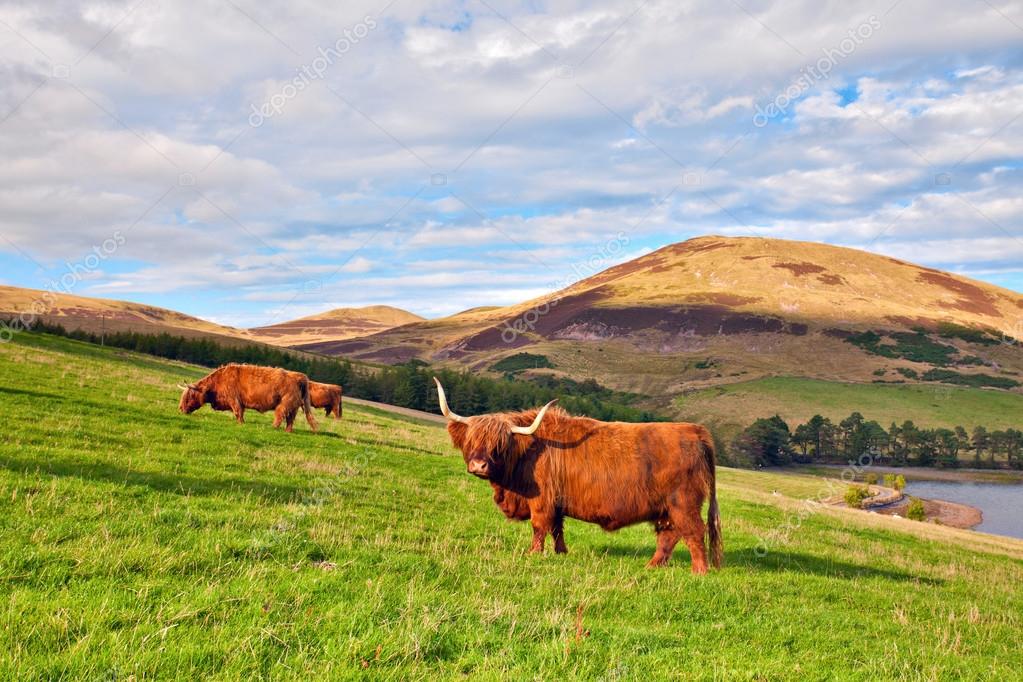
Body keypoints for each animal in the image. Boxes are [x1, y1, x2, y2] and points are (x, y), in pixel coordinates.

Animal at [178, 364, 318, 433]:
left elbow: (238, 412)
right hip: (293, 407)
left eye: (189, 396)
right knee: (290, 420)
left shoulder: (234, 399)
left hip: (285, 403)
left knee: (280, 415)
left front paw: (241, 423)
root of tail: (299, 376)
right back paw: (287, 431)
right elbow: (240, 412)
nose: (181, 409)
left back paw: (273, 427)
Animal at [434, 378, 722, 572]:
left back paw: (699, 571)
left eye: (500, 444)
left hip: (683, 503)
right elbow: (557, 528)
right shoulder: (557, 502)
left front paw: (533, 554)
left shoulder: (542, 500)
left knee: (694, 533)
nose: (478, 465)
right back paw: (652, 565)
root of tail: (696, 432)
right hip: (666, 509)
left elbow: (539, 526)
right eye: (472, 440)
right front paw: (561, 553)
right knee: (668, 536)